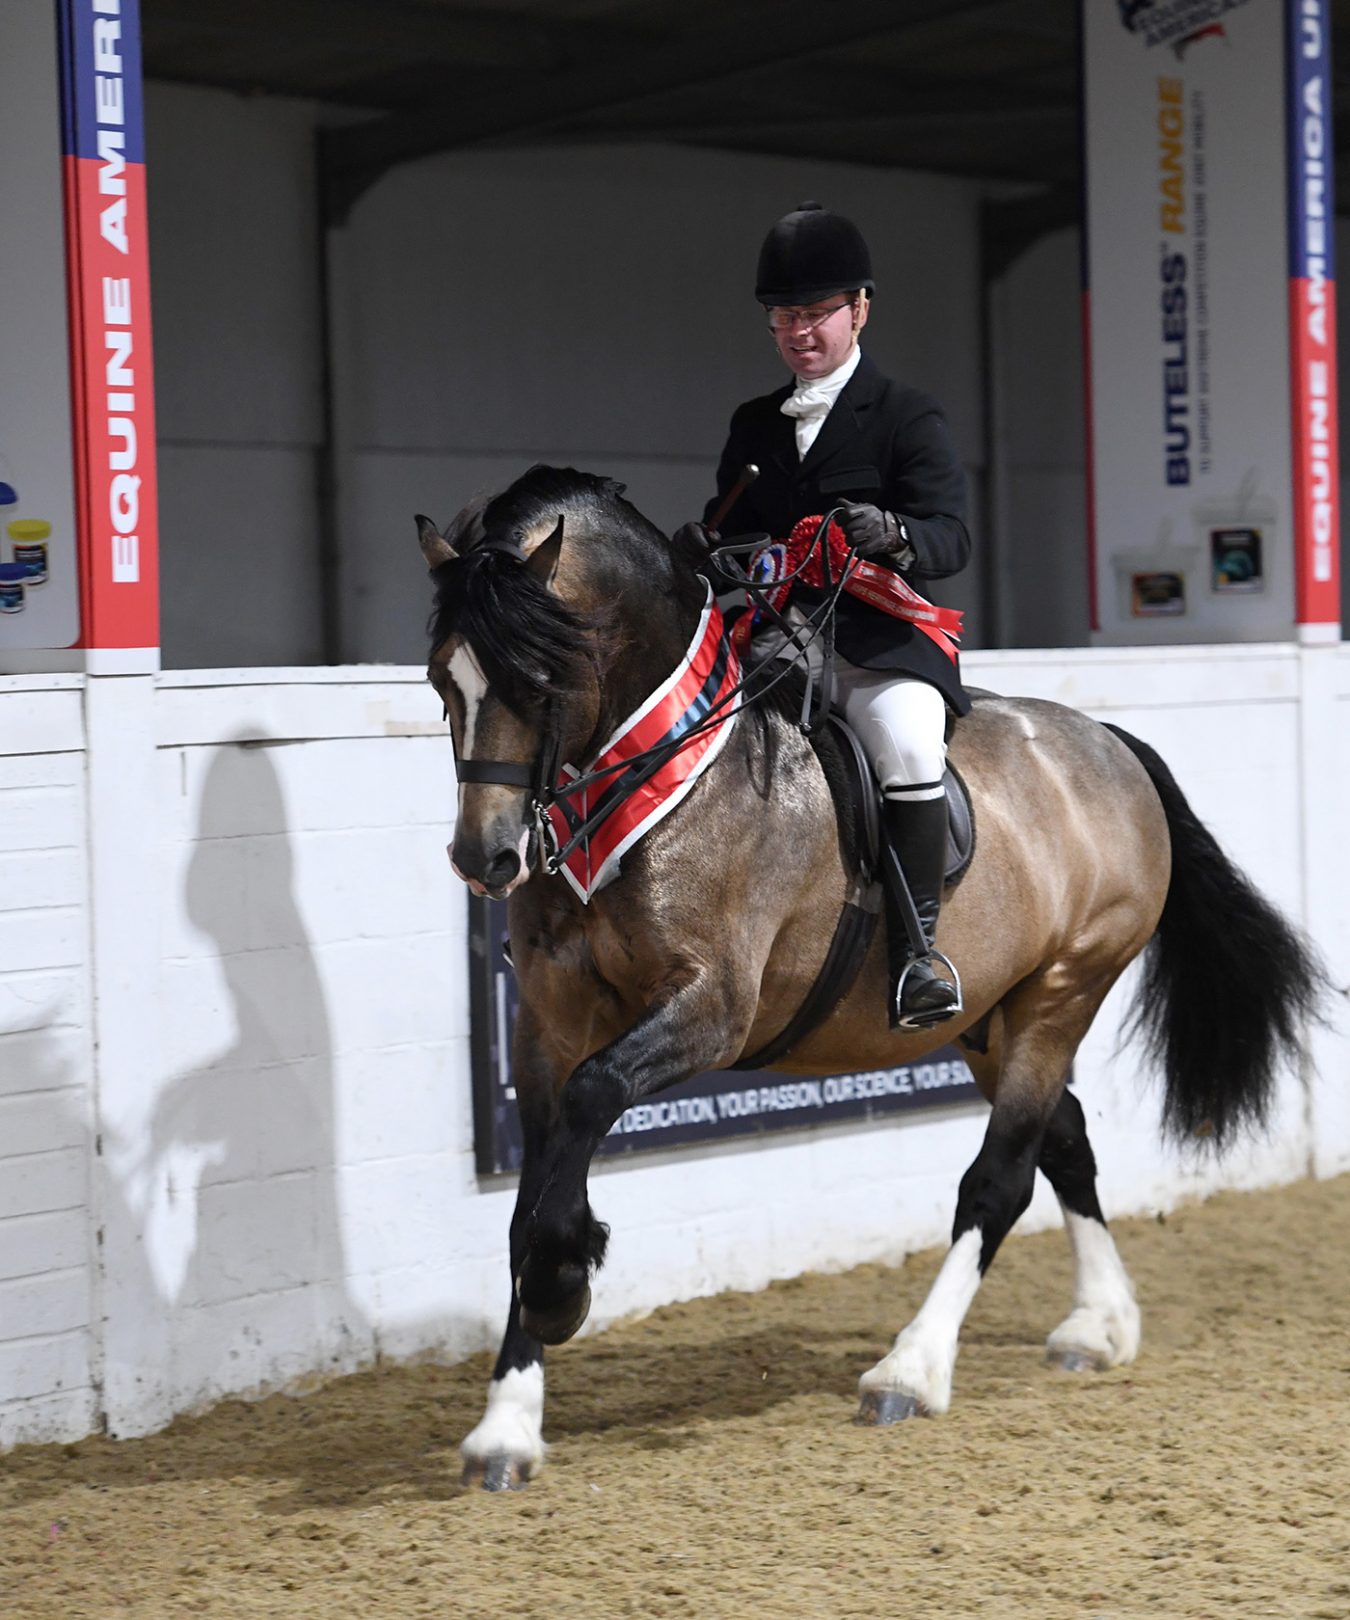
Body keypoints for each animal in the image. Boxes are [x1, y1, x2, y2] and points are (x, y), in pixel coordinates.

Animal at [417, 465, 1322, 1492]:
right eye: (442, 679)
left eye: (540, 680)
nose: (484, 858)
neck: (662, 778)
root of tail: (1105, 740)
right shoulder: (546, 1024)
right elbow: (531, 1195)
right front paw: (507, 1424)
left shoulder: (710, 1011)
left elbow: (591, 1104)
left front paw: (564, 1285)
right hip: (988, 1019)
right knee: (1067, 1142)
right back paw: (1100, 1325)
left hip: (1066, 988)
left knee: (1000, 1180)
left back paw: (912, 1370)